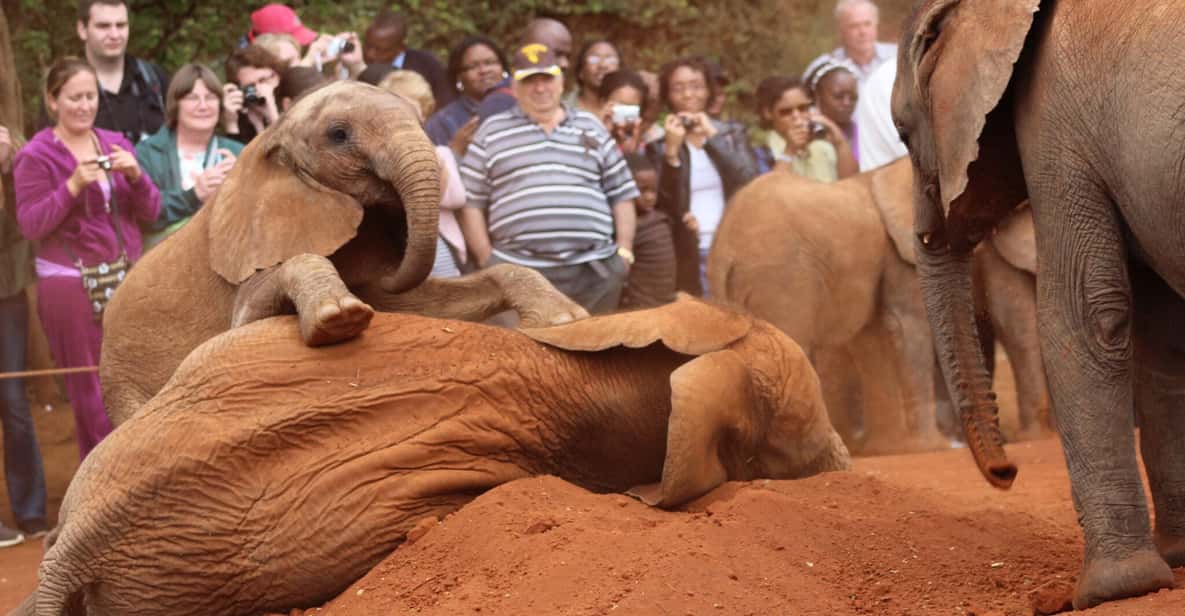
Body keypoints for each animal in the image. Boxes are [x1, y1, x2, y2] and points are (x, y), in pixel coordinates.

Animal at [100, 80, 585, 427]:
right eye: (338, 134)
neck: (275, 133)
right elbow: (241, 326)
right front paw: (340, 318)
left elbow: (413, 305)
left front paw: (564, 318)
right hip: (120, 382)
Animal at [708, 157, 1050, 453]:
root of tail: (725, 248)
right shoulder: (907, 253)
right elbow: (910, 327)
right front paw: (930, 447)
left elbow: (871, 342)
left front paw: (888, 448)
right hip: (781, 277)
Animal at [892, 0, 1185, 608]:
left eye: (902, 133)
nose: (1008, 473)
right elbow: (1162, 334)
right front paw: (1175, 559)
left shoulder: (1054, 124)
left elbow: (1086, 313)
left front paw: (1115, 589)